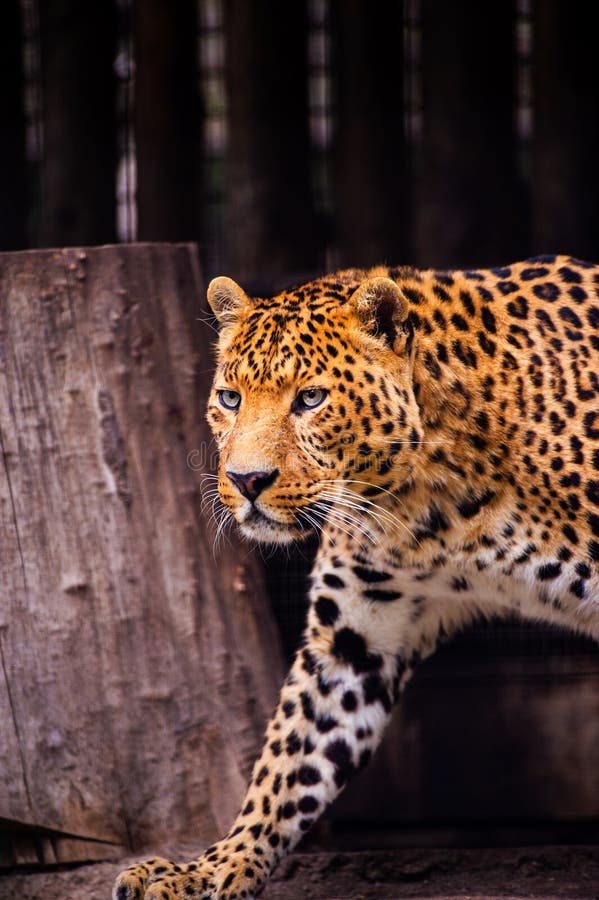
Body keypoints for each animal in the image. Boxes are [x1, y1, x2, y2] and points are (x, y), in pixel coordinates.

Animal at [114, 254, 599, 899]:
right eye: (230, 398)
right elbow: (288, 758)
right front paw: (210, 868)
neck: (431, 500)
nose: (246, 480)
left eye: (311, 398)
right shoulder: (352, 644)